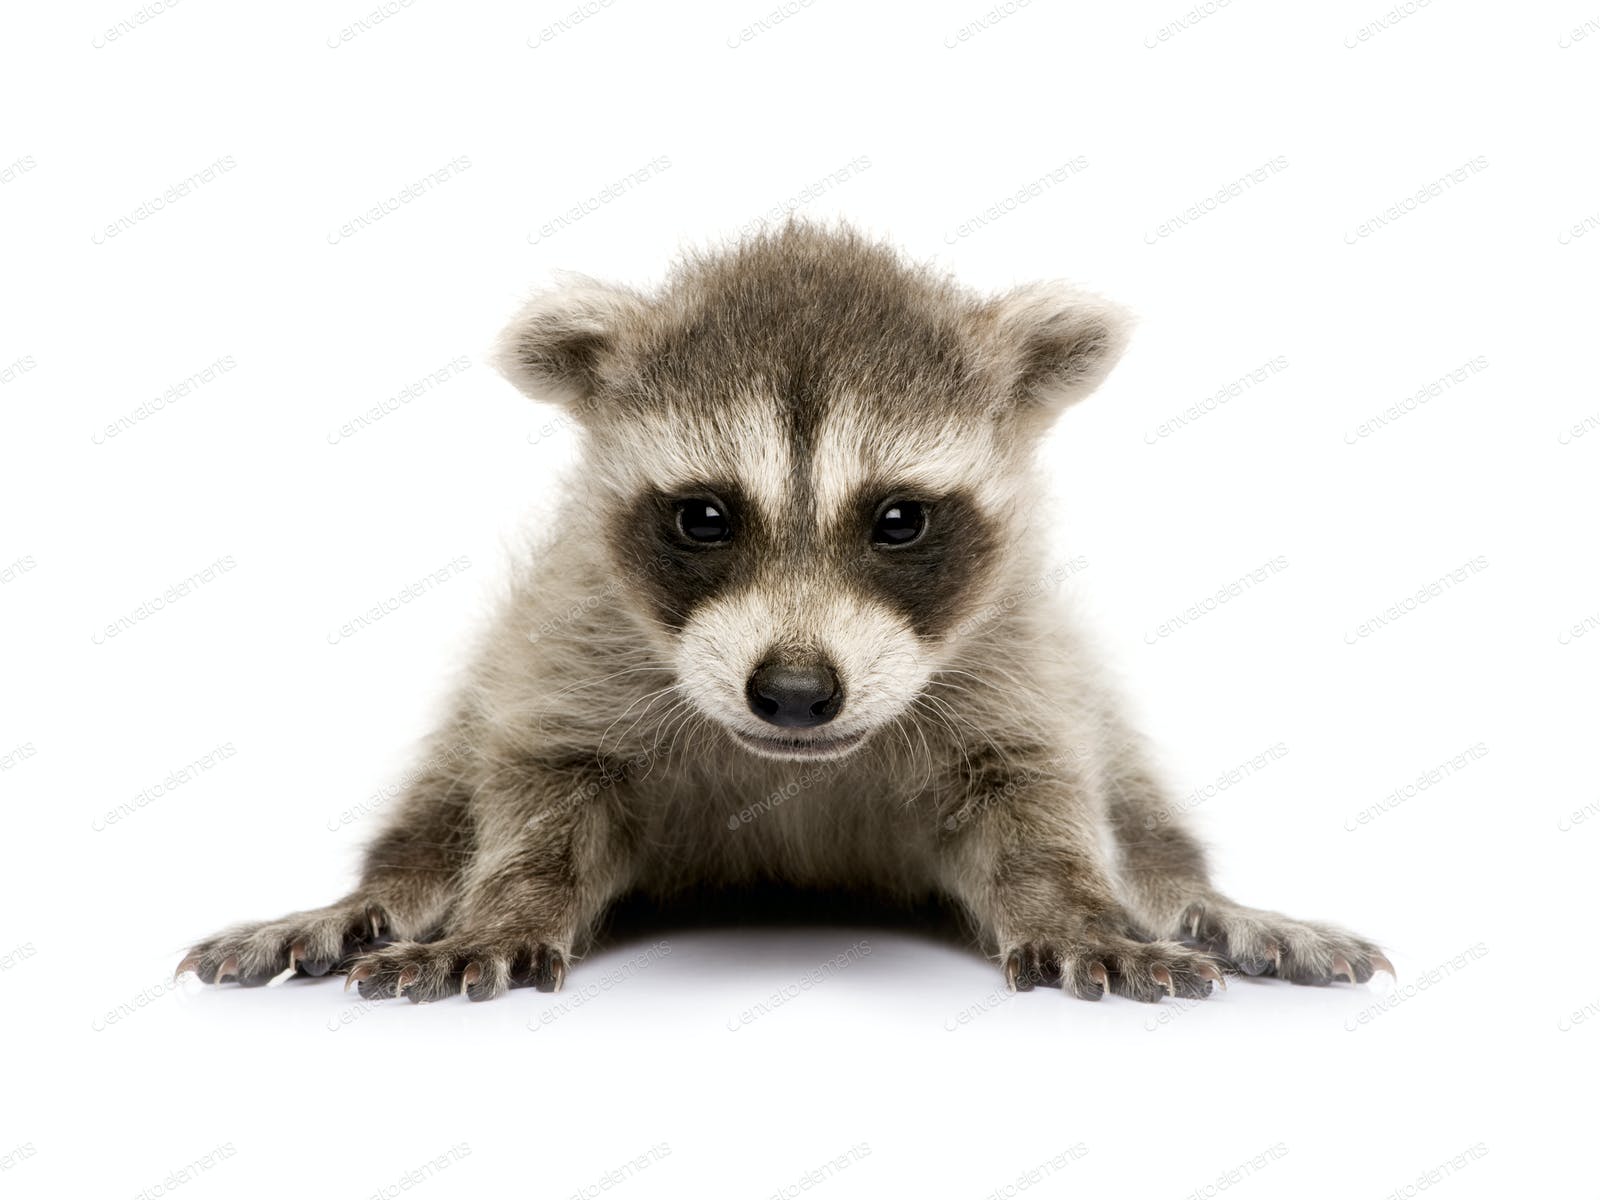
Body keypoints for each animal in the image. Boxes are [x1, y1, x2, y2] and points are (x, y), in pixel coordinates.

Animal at [179, 222, 1390, 1003]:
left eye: (898, 518)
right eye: (705, 516)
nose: (797, 693)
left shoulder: (1015, 654)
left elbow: (1036, 798)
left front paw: (1075, 908)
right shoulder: (572, 633)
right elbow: (541, 790)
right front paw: (506, 907)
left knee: (1137, 813)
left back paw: (1194, 896)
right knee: (441, 796)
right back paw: (384, 891)